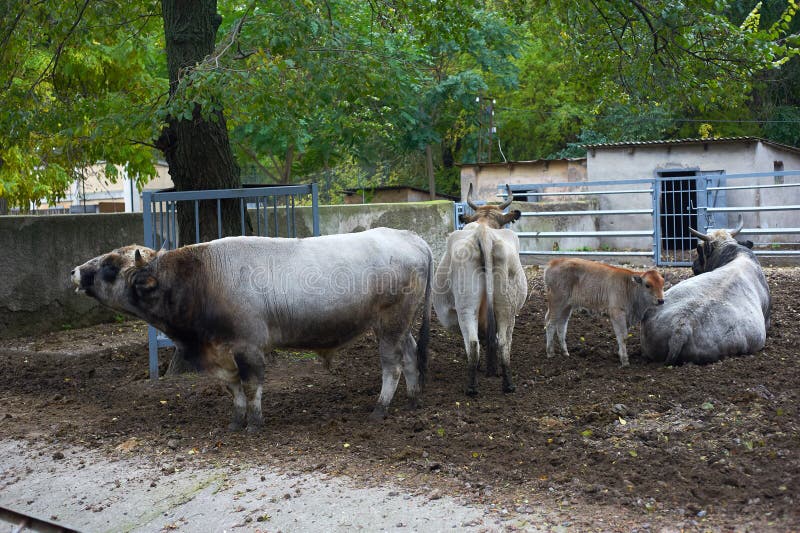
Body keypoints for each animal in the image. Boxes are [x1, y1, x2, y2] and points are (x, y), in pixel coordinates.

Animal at [71, 228, 433, 431]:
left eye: (110, 266)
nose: (75, 271)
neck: (202, 278)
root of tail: (410, 237)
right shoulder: (222, 353)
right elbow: (233, 389)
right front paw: (236, 421)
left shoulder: (248, 348)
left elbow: (251, 386)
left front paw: (255, 424)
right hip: (400, 325)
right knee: (411, 355)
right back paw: (414, 399)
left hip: (390, 324)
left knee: (392, 366)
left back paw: (380, 410)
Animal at [433, 184, 528, 395]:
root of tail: (484, 234)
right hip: (506, 308)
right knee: (502, 342)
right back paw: (507, 384)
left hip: (467, 306)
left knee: (474, 342)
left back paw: (473, 386)